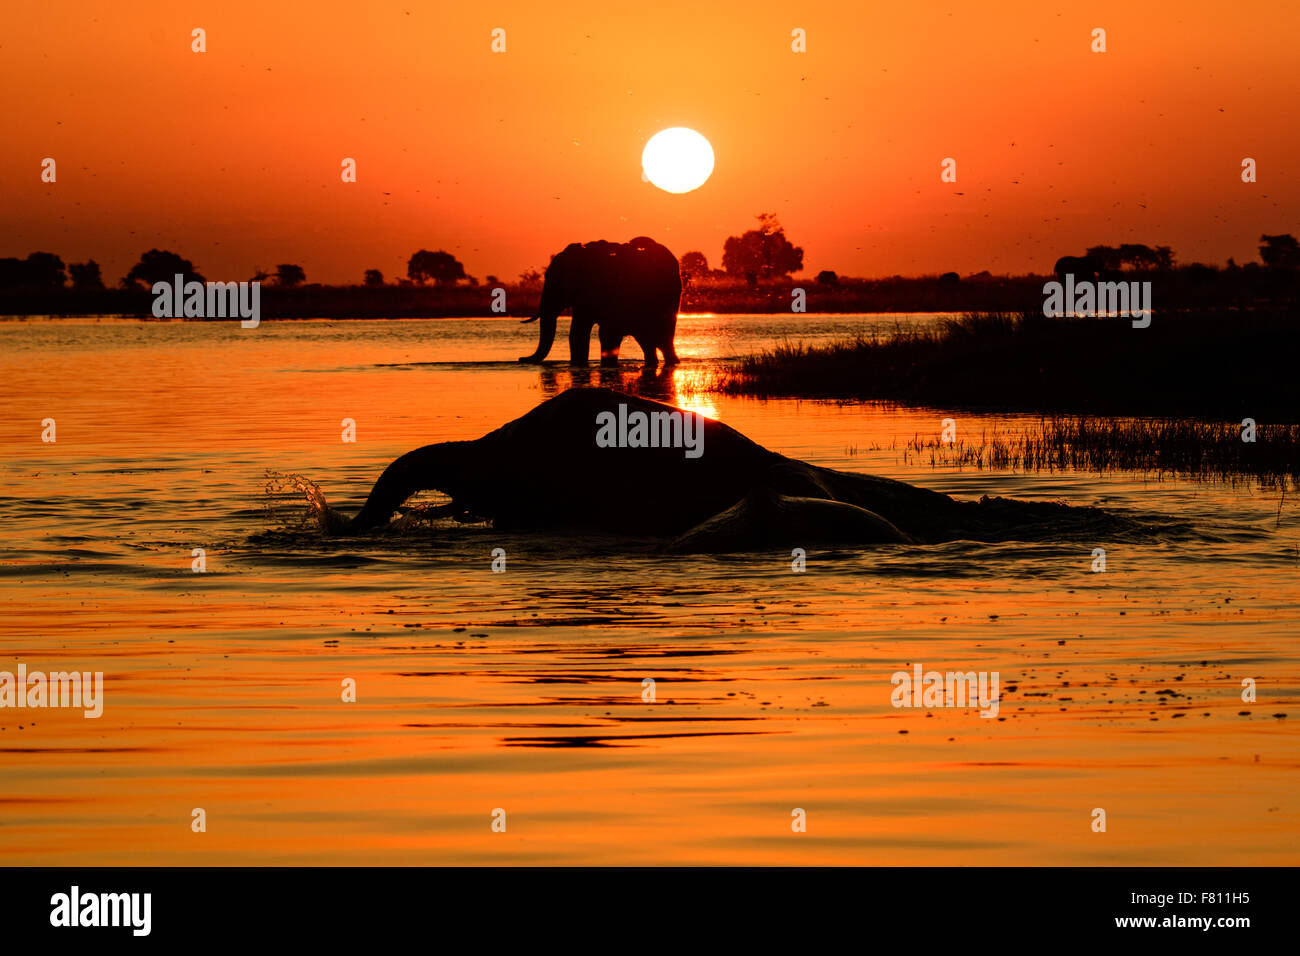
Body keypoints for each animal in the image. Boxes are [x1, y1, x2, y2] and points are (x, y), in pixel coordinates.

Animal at [519, 237, 681, 368]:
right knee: (649, 341)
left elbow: (607, 332)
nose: (521, 359)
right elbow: (579, 332)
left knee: (660, 339)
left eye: (556, 281)